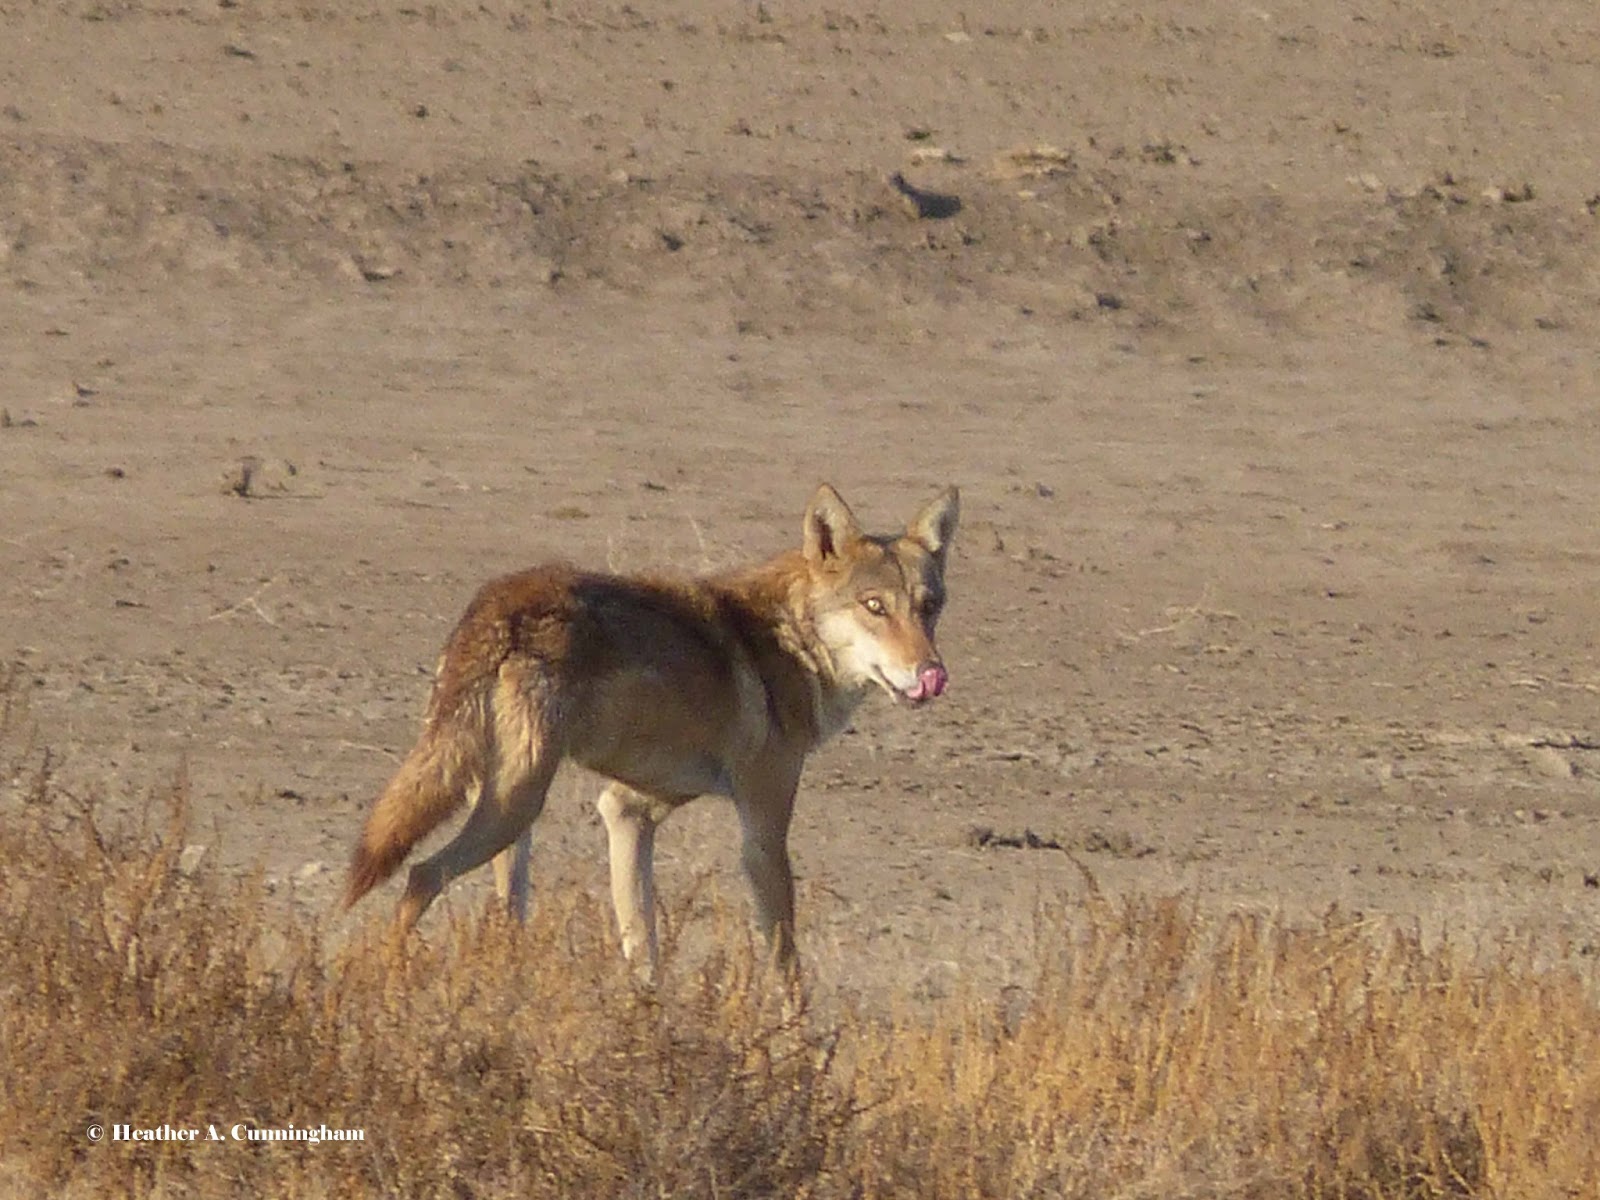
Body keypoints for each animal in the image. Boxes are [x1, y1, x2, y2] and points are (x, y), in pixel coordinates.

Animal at [344, 483, 960, 972]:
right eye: (874, 606)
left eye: (929, 607)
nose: (932, 673)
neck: (792, 642)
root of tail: (498, 603)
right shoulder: (762, 831)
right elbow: (787, 967)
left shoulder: (629, 809)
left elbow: (642, 946)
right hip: (513, 807)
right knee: (421, 876)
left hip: (509, 822)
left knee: (500, 912)